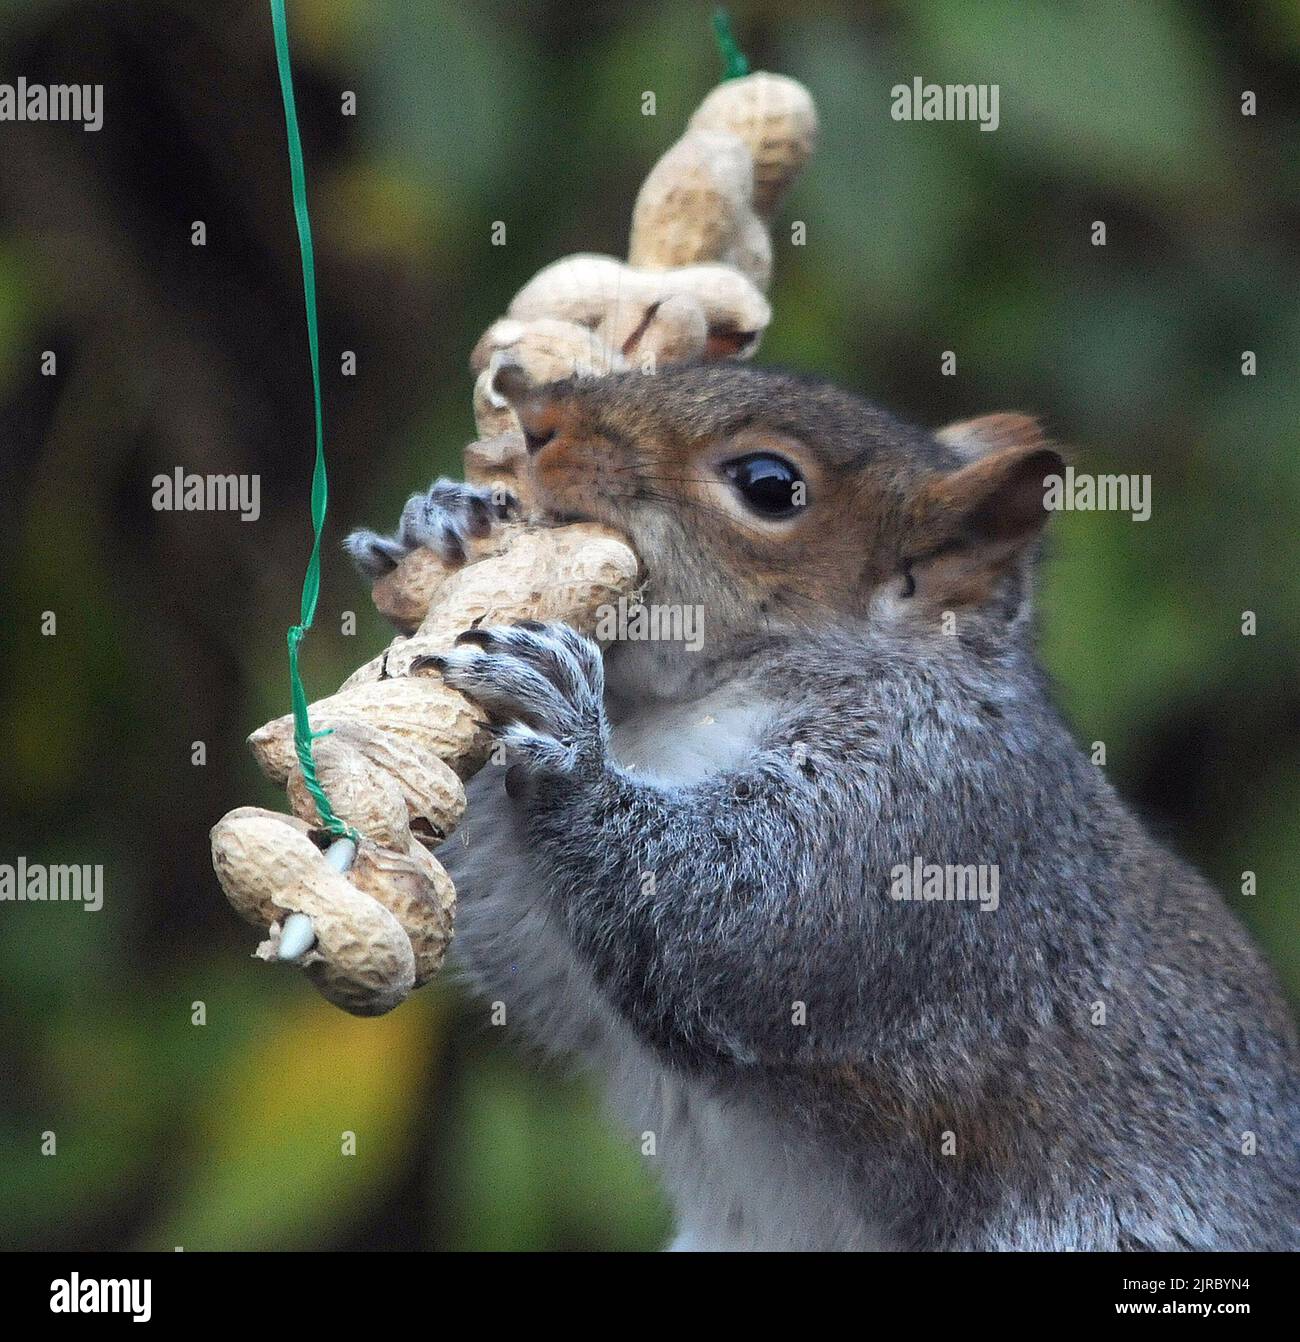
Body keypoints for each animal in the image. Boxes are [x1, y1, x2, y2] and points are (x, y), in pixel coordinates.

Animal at [346, 363, 1300, 1251]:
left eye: (770, 485)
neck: (678, 714)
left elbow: (740, 925)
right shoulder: (562, 973)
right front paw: (446, 518)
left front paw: (567, 736)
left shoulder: (930, 814)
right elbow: (523, 949)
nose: (536, 417)